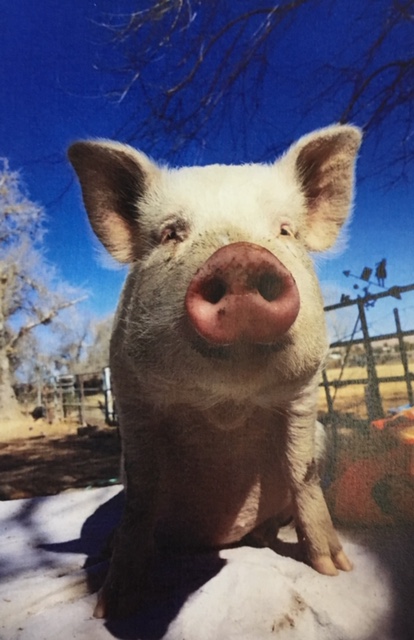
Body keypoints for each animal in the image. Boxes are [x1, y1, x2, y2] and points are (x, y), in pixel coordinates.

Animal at [68, 124, 362, 618]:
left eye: (285, 230)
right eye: (171, 233)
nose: (240, 257)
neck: (226, 401)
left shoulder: (303, 392)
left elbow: (301, 471)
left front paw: (335, 569)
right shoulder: (130, 394)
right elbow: (142, 492)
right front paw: (114, 606)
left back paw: (264, 537)